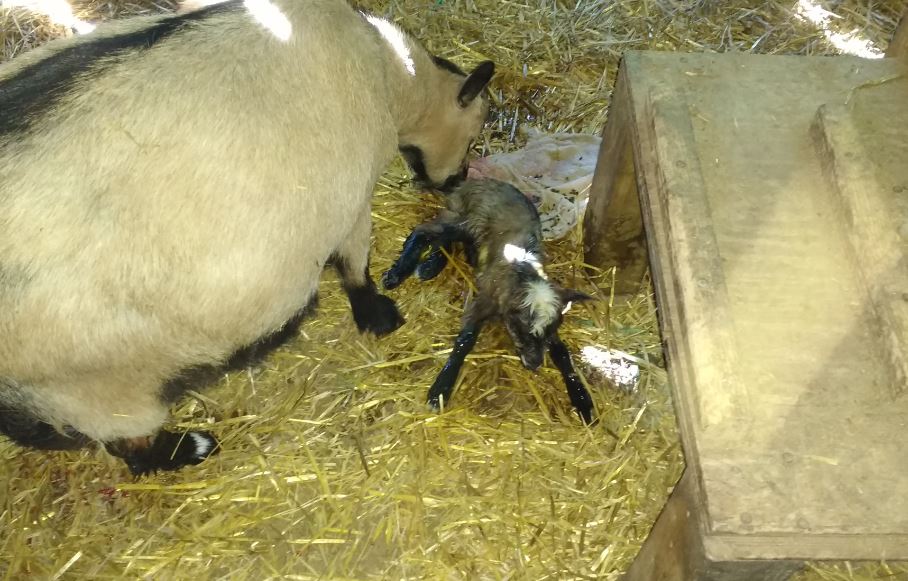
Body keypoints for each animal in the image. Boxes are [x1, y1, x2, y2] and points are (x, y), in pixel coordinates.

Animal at [0, 0, 495, 474]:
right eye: (473, 136)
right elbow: (356, 264)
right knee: (134, 450)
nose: (456, 180)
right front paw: (378, 314)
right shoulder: (352, 202)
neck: (389, 73)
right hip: (96, 387)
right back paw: (193, 447)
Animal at [381, 179, 595, 423]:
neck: (523, 267)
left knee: (445, 239)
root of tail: (472, 182)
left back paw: (429, 266)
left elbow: (562, 353)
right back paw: (399, 273)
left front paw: (583, 401)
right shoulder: (483, 300)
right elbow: (465, 340)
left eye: (548, 332)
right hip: (463, 217)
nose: (534, 364)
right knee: (425, 231)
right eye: (522, 330)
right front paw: (440, 390)